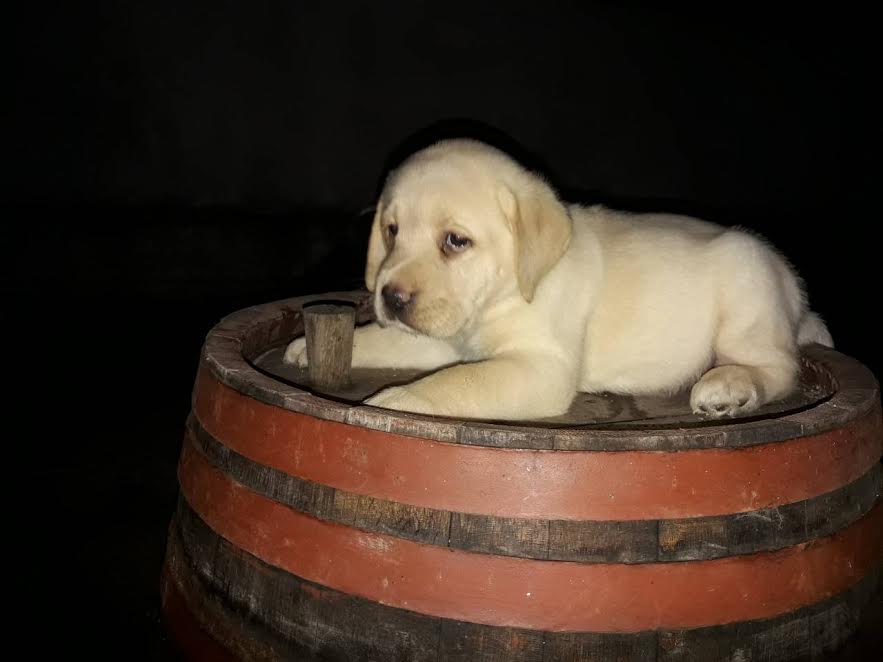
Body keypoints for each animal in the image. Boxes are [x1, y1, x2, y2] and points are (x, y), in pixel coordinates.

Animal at [284, 139, 836, 420]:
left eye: (455, 241)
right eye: (392, 231)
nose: (391, 297)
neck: (510, 291)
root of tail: (795, 295)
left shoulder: (539, 366)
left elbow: (456, 382)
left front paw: (396, 405)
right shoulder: (445, 338)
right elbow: (390, 343)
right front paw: (306, 347)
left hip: (747, 295)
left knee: (779, 367)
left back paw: (728, 387)